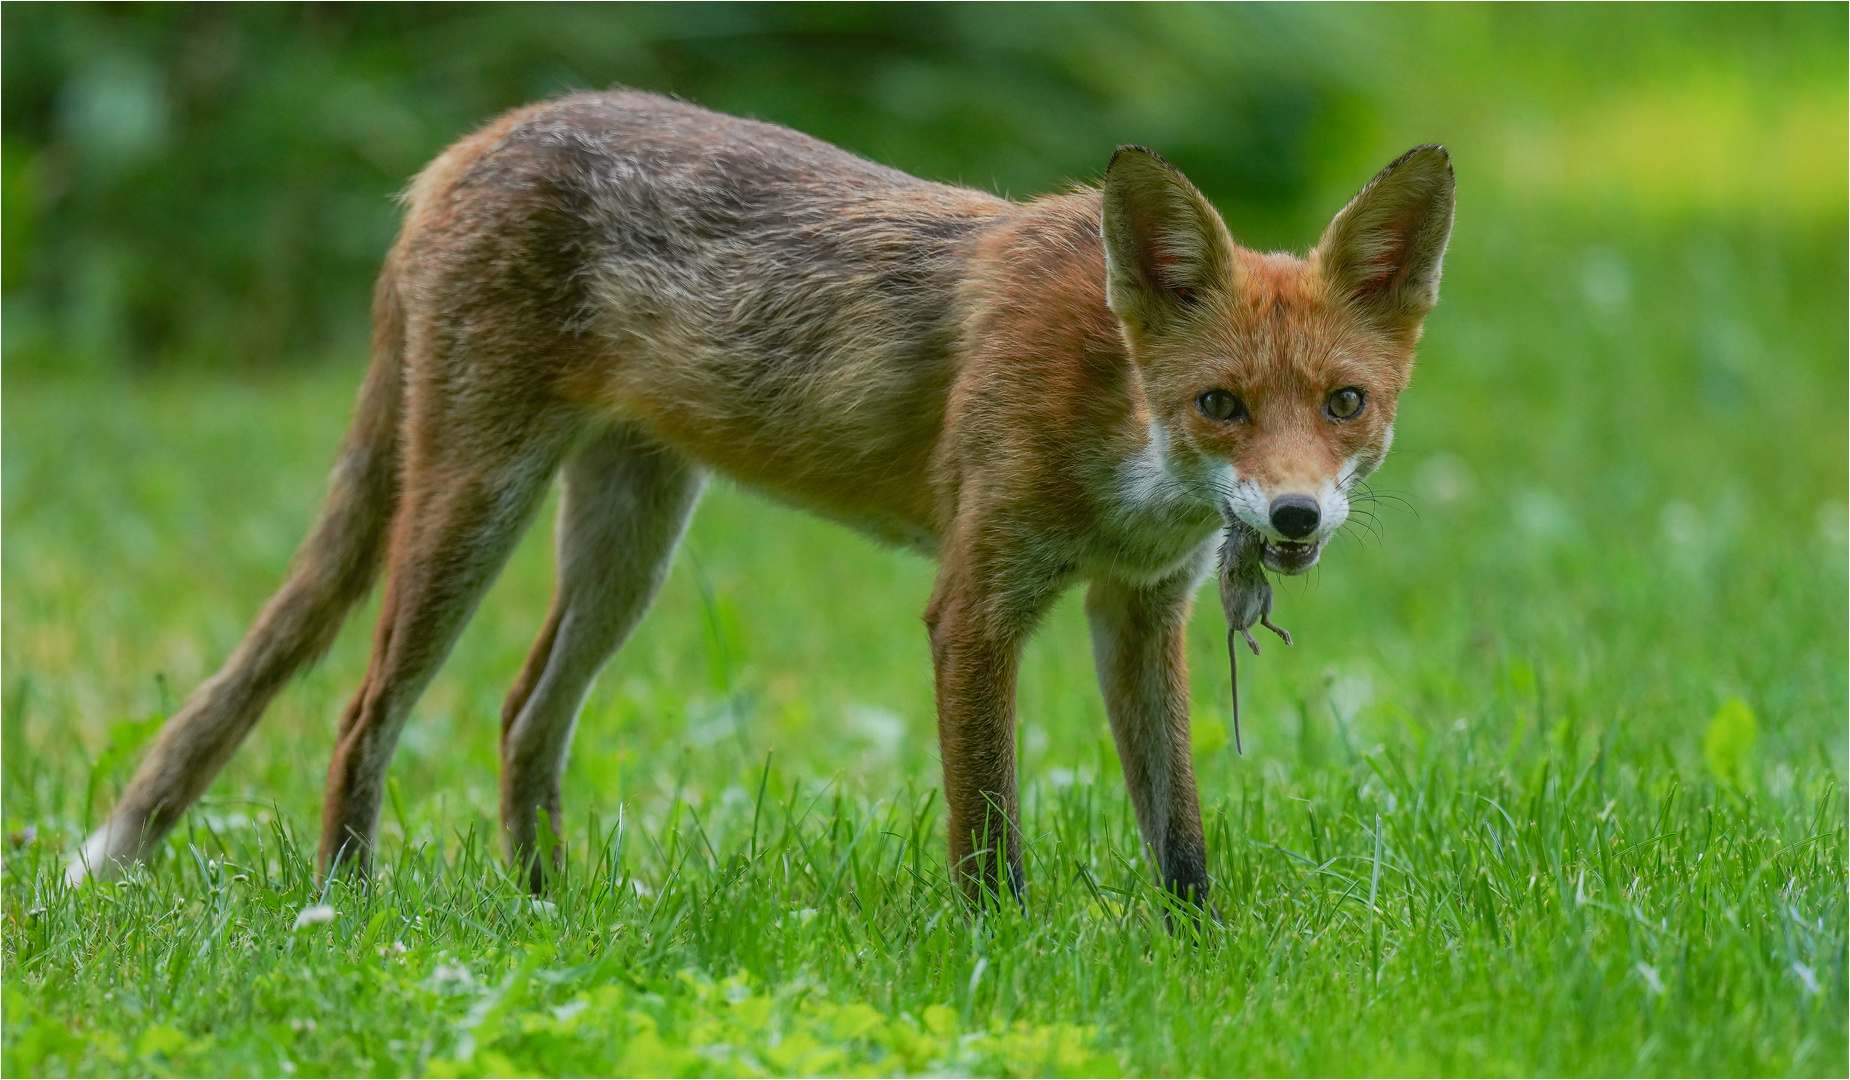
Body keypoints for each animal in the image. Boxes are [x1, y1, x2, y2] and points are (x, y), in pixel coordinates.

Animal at [72, 90, 1450, 902]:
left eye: (1343, 404)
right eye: (1221, 405)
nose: (1291, 520)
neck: (1116, 420)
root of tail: (477, 139)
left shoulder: (1137, 610)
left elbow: (1178, 834)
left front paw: (1191, 958)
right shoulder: (976, 605)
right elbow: (987, 829)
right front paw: (1006, 965)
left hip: (627, 546)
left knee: (522, 717)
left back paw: (541, 914)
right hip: (471, 506)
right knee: (364, 710)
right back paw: (347, 909)